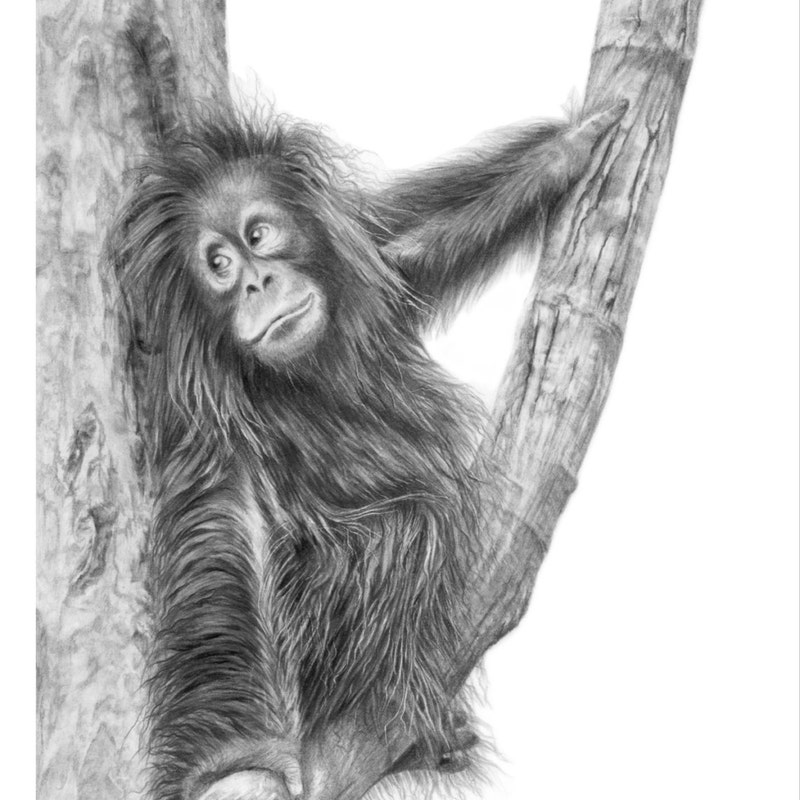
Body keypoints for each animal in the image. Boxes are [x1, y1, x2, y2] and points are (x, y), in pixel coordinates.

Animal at [110, 99, 625, 800]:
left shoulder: (373, 279)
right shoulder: (208, 433)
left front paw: (568, 147)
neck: (300, 377)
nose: (256, 283)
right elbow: (235, 544)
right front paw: (242, 767)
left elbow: (411, 250)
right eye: (217, 266)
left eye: (258, 235)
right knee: (411, 525)